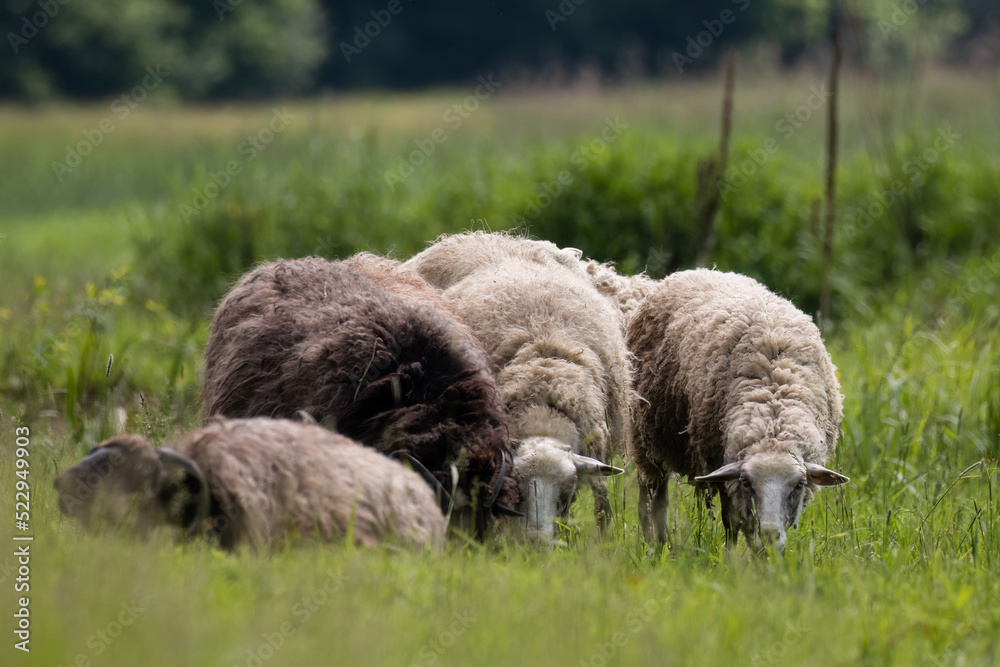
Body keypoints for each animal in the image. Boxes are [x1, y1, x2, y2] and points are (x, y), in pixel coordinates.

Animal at [627, 269, 849, 553]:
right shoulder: (721, 465)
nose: (770, 536)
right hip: (646, 441)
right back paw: (656, 546)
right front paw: (732, 559)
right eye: (747, 482)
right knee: (653, 500)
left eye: (799, 485)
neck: (772, 414)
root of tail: (696, 271)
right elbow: (731, 521)